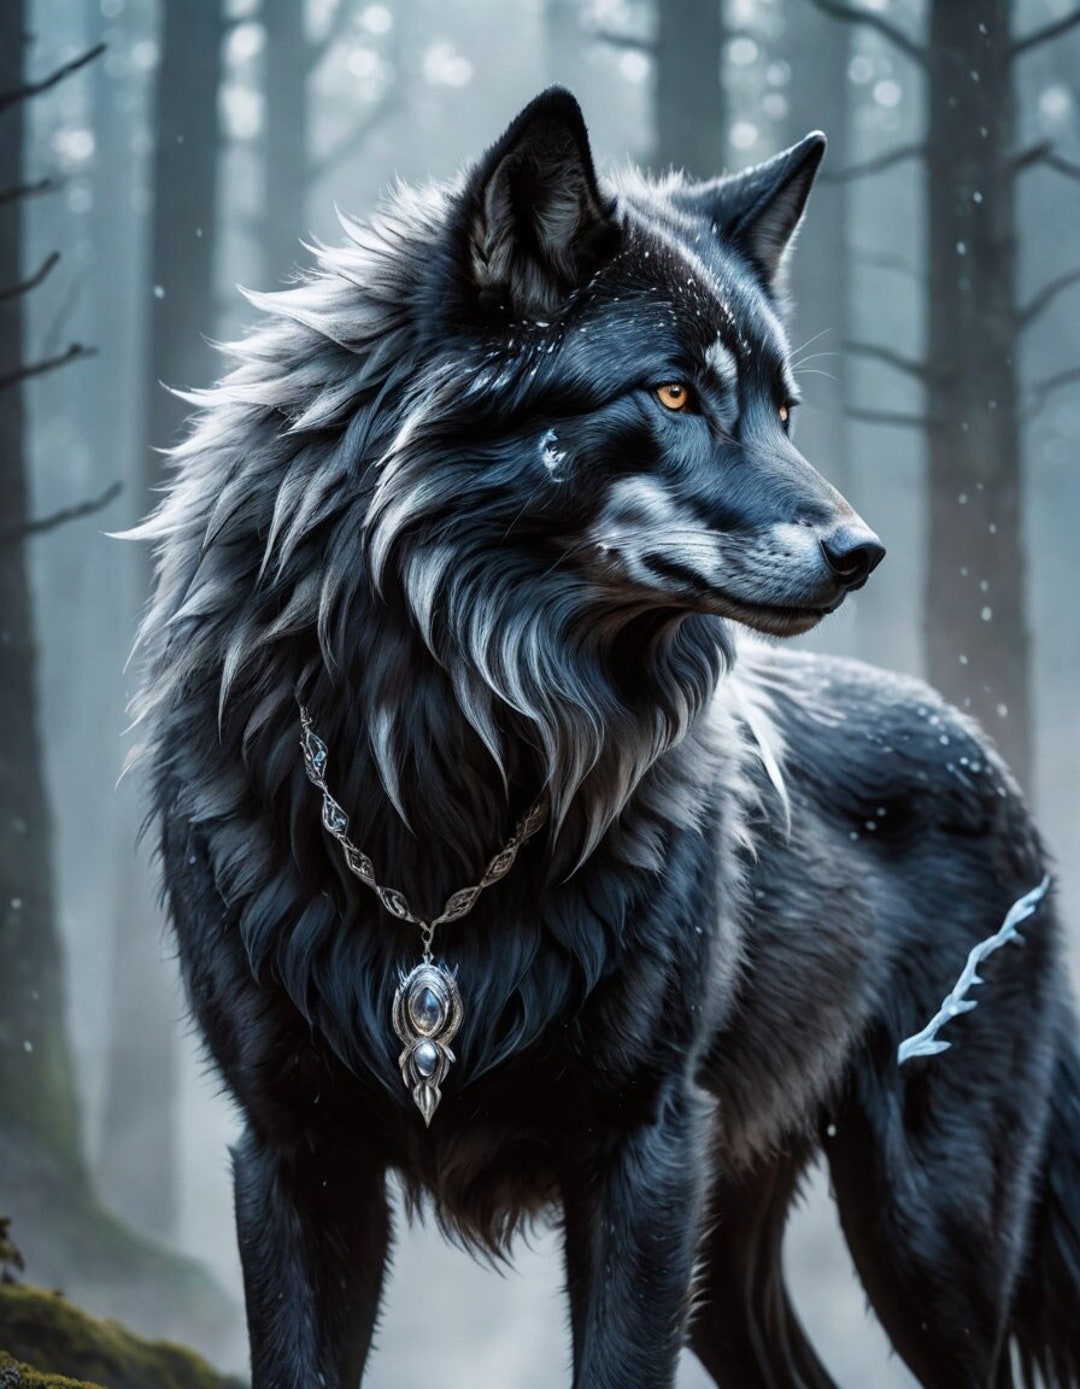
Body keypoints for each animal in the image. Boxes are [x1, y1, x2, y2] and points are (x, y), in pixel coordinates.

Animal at [129, 90, 1080, 1387]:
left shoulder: (642, 1149)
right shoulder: (291, 1152)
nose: (863, 551)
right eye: (674, 395)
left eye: (781, 411)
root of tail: (989, 755)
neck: (444, 776)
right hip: (746, 1251)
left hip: (923, 1232)